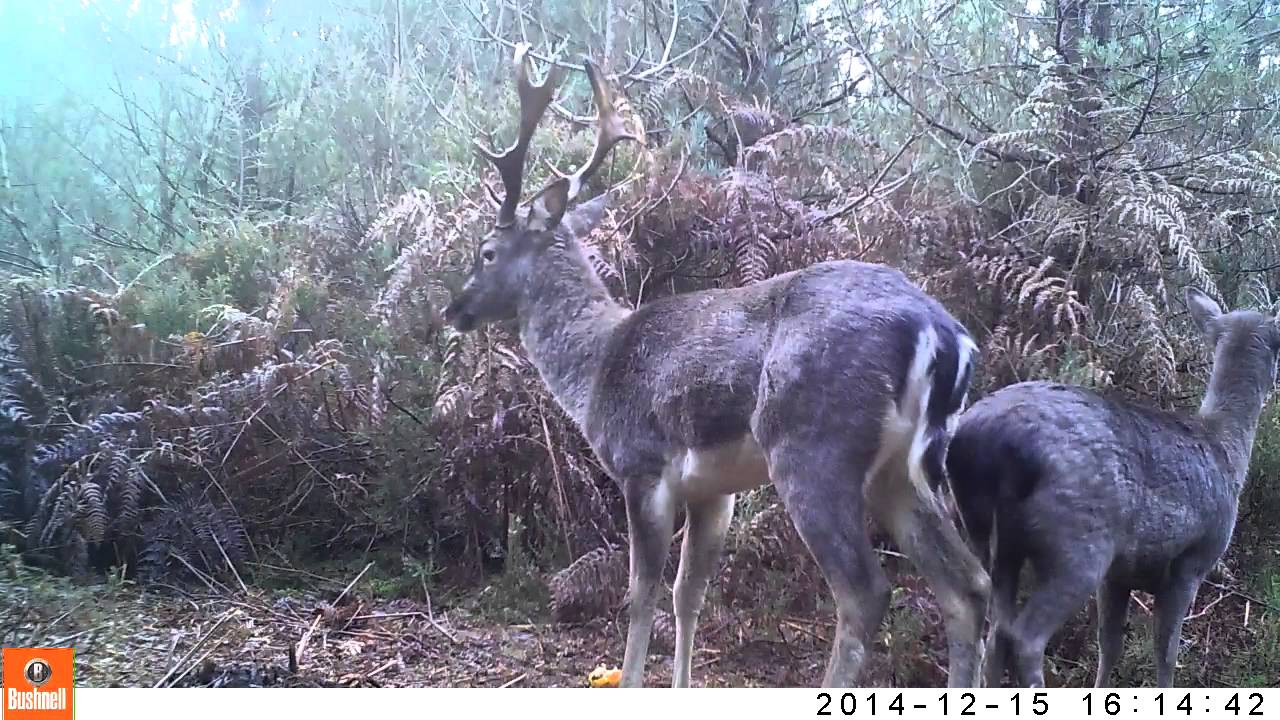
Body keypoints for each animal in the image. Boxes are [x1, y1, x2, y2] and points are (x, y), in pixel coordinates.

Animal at [442, 44, 991, 688]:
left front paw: (629, 681)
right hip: (903, 468)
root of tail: (944, 333)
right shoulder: (714, 490)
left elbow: (642, 594)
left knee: (865, 593)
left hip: (814, 445)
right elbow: (689, 594)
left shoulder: (641, 465)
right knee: (968, 585)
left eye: (486, 252)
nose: (453, 309)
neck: (596, 367)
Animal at [945, 288, 1280, 688]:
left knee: (996, 632)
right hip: (1078, 544)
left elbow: (1110, 645)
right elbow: (1166, 652)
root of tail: (992, 441)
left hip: (988, 535)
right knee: (1025, 637)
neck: (1226, 448)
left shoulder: (1118, 576)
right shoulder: (1192, 561)